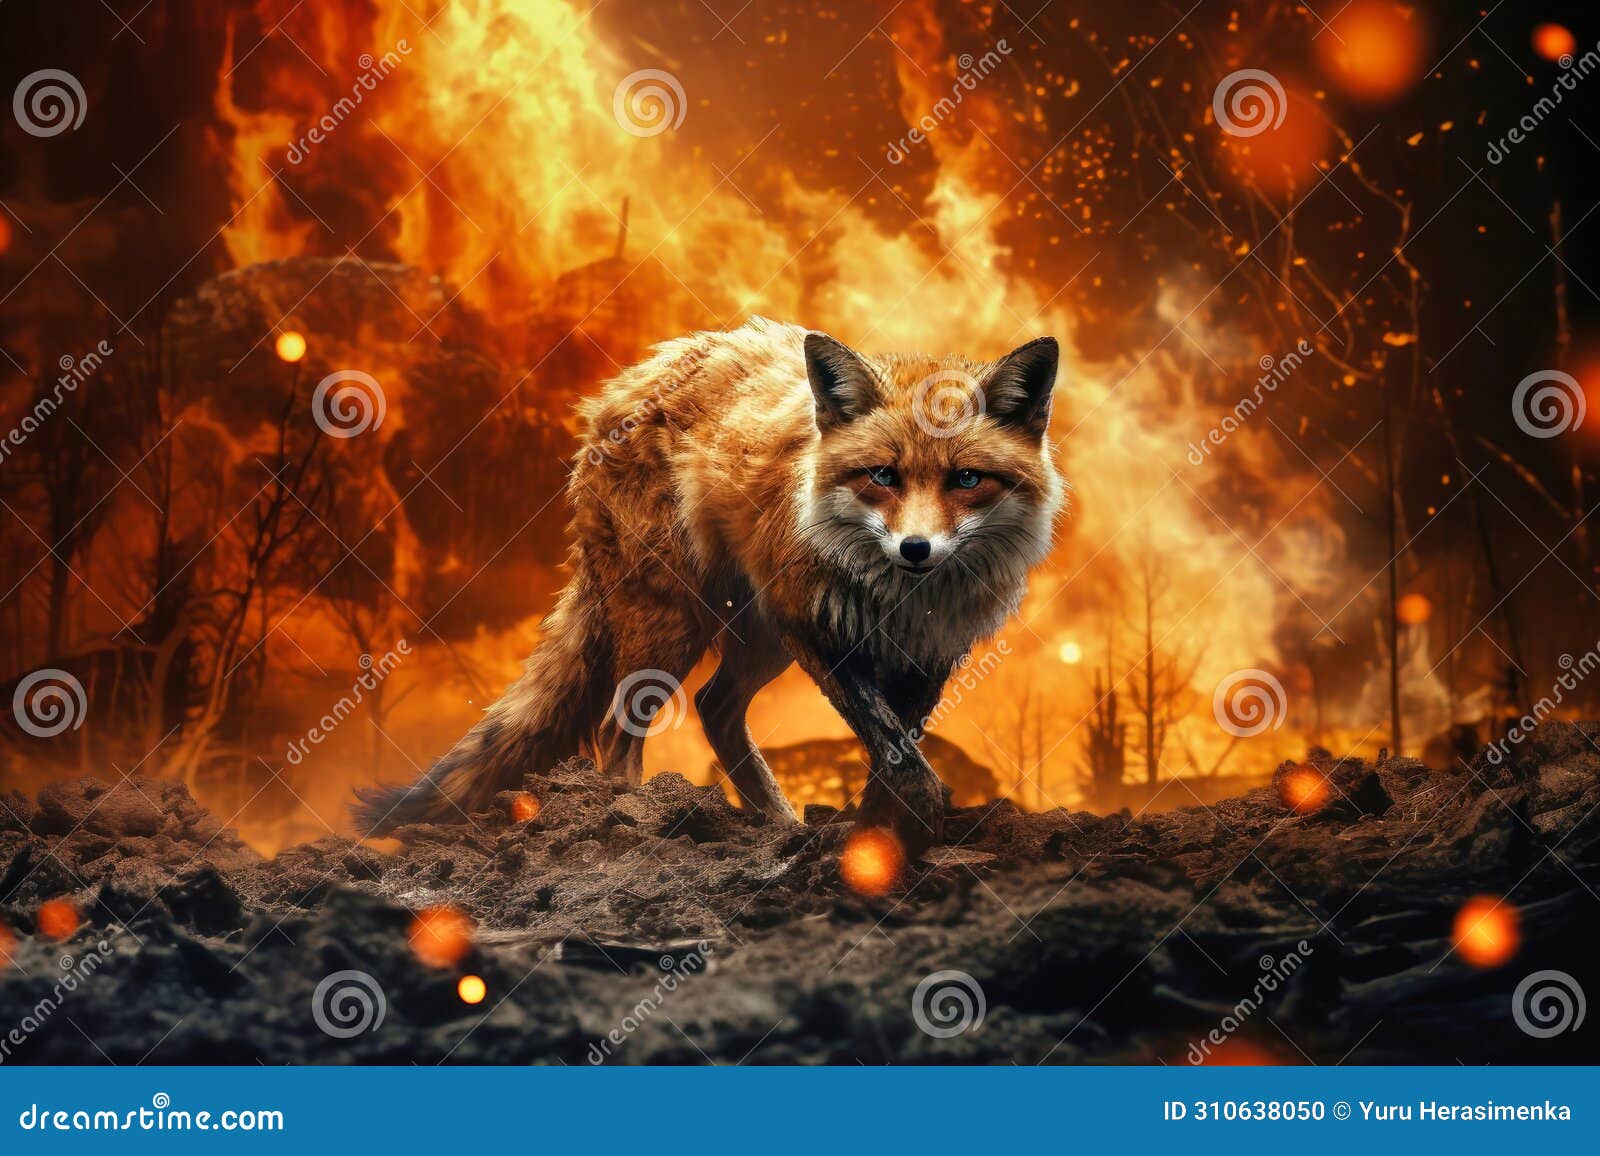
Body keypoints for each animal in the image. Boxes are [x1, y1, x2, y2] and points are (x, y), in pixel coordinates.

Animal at [354, 318, 1065, 855]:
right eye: (882, 476)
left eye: (966, 480)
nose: (915, 549)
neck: (902, 599)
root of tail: (627, 383)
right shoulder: (816, 629)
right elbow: (899, 759)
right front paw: (903, 830)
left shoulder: (928, 655)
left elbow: (893, 758)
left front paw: (879, 837)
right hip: (676, 622)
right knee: (617, 731)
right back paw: (636, 823)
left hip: (757, 640)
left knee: (714, 708)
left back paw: (774, 823)